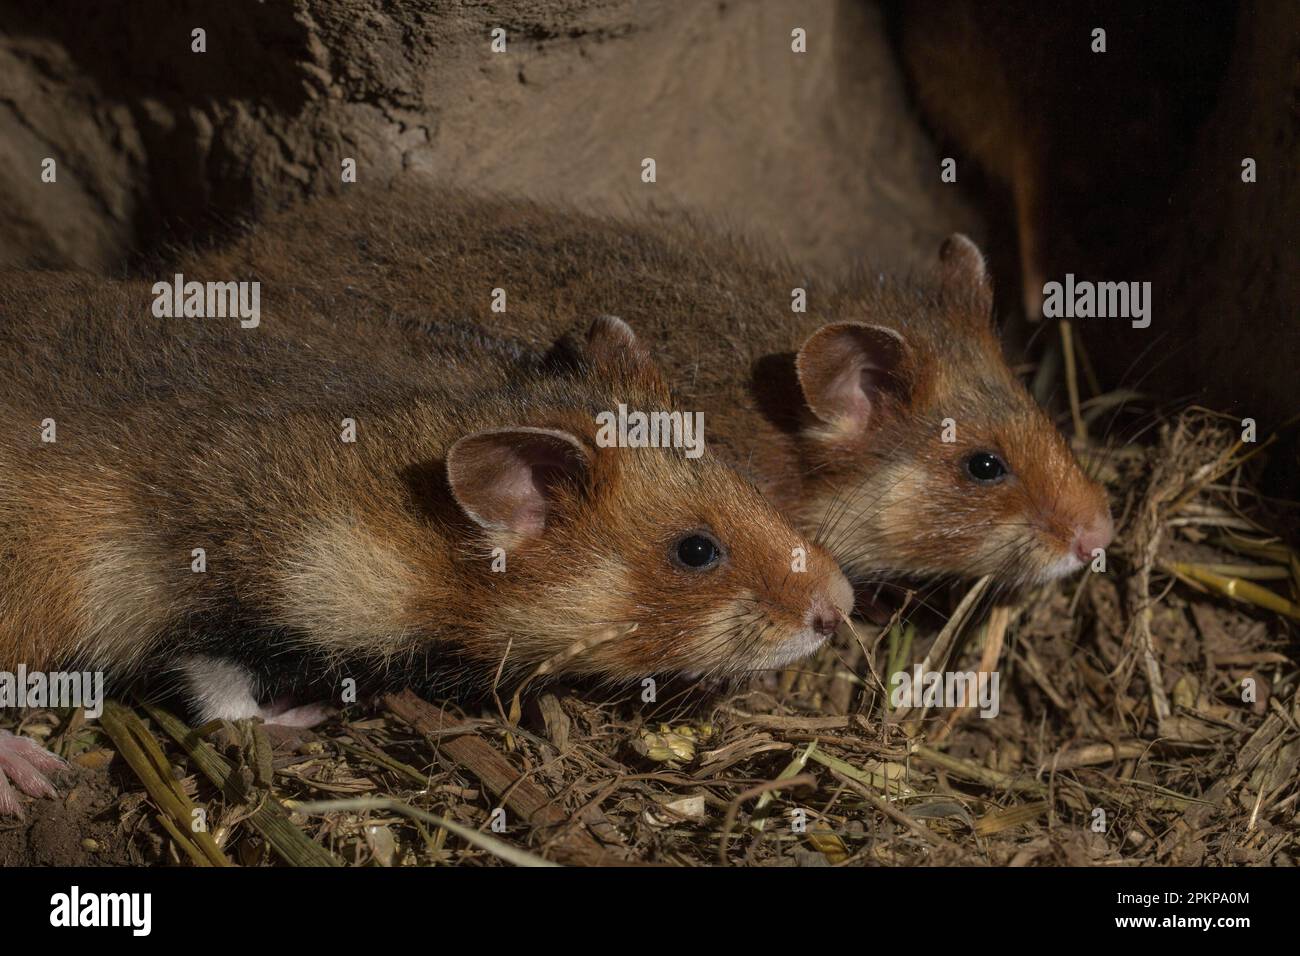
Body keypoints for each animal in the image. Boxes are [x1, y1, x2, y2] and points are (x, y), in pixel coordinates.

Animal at [0, 275, 852, 813]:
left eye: (741, 473)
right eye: (696, 552)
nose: (841, 608)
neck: (414, 532)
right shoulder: (217, 588)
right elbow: (221, 690)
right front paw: (301, 717)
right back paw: (38, 779)